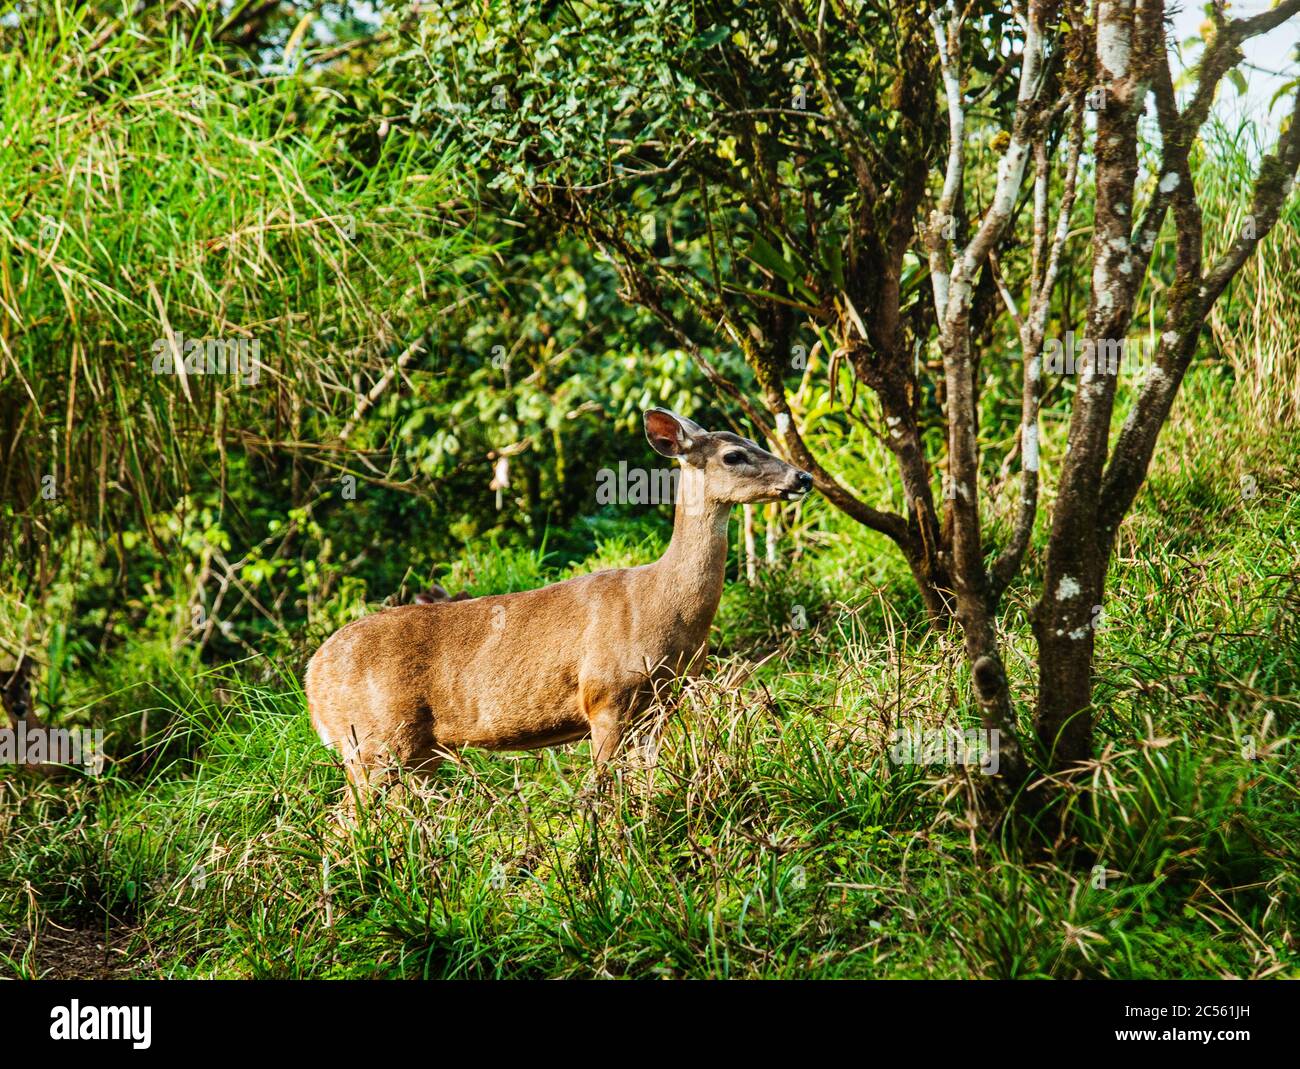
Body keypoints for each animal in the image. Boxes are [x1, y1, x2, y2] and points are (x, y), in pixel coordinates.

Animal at [305, 407, 813, 804]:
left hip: (415, 751)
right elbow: (605, 787)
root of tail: (312, 674)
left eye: (753, 441)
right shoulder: (606, 695)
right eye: (734, 455)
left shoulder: (662, 704)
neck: (662, 608)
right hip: (374, 737)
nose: (803, 476)